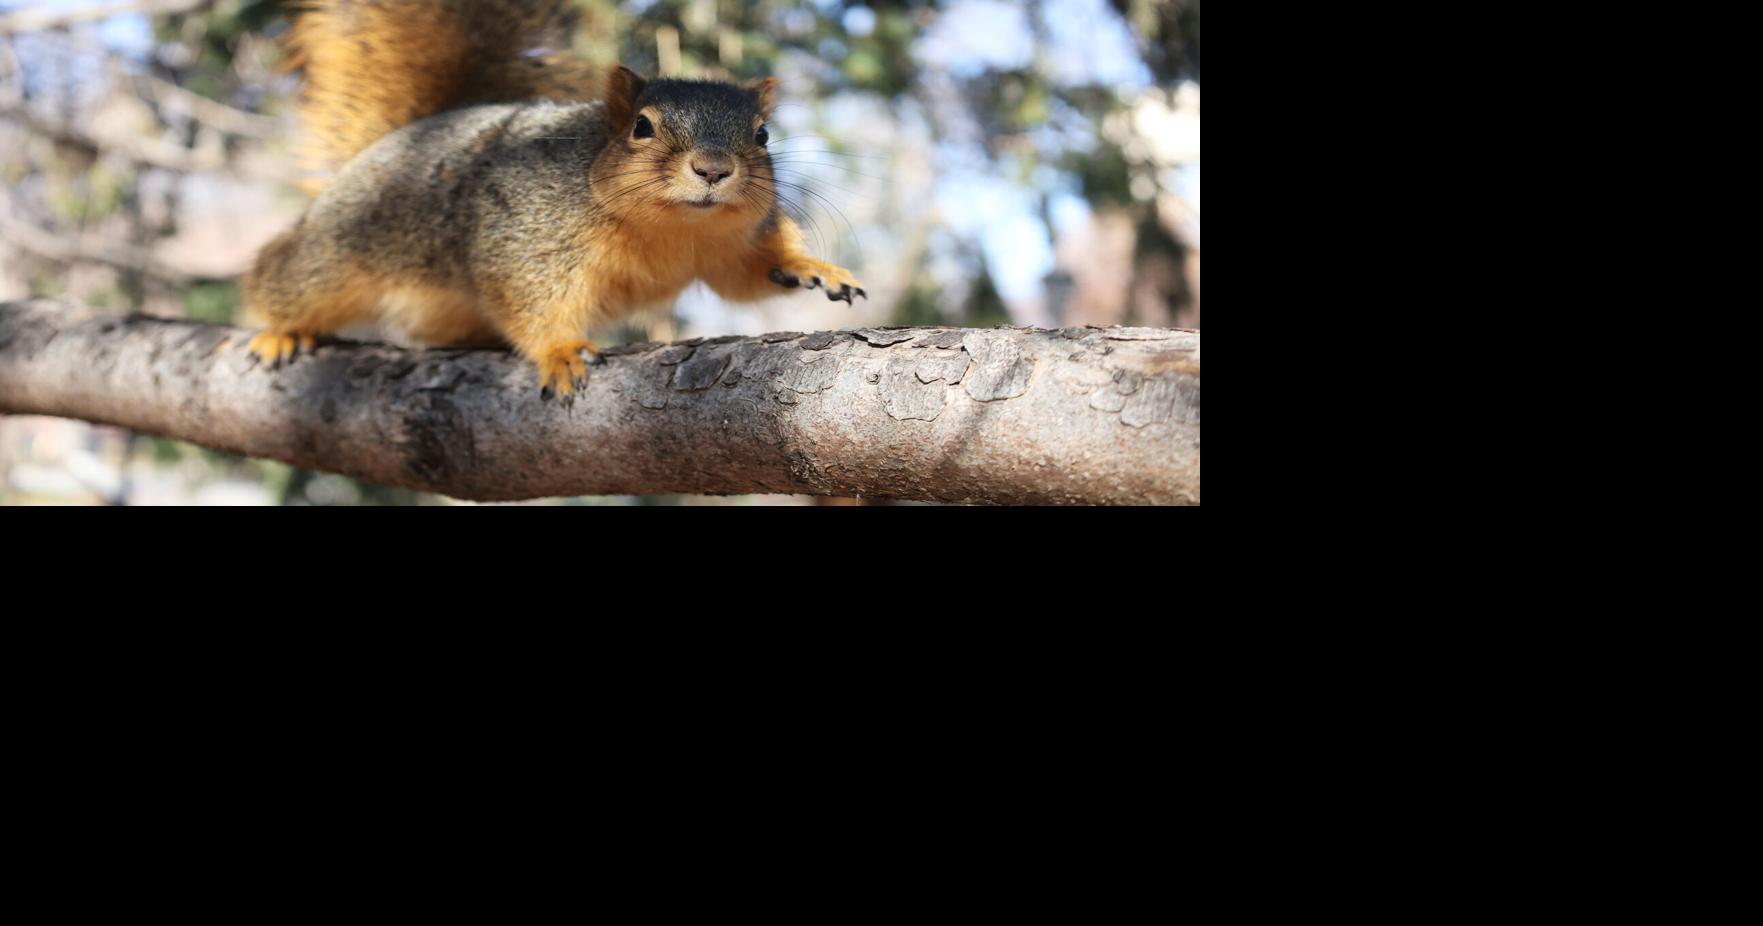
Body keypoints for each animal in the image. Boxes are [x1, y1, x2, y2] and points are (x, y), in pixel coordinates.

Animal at [243, 0, 865, 401]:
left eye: (762, 135)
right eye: (641, 127)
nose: (713, 169)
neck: (674, 229)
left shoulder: (727, 246)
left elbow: (744, 278)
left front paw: (810, 265)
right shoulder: (525, 235)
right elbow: (534, 299)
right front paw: (562, 351)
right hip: (335, 251)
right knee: (279, 273)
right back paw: (278, 331)